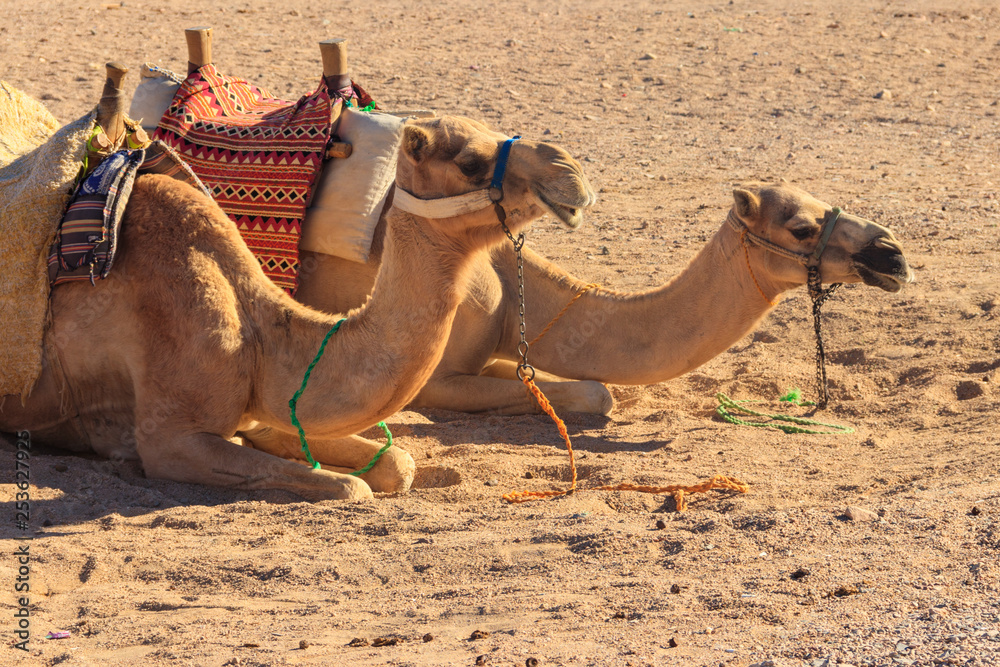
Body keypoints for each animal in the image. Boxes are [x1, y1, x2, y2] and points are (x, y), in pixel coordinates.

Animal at [0, 67, 596, 499]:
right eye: (470, 161)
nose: (570, 171)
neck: (258, 328)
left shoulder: (261, 412)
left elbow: (395, 462)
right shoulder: (170, 439)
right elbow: (351, 488)